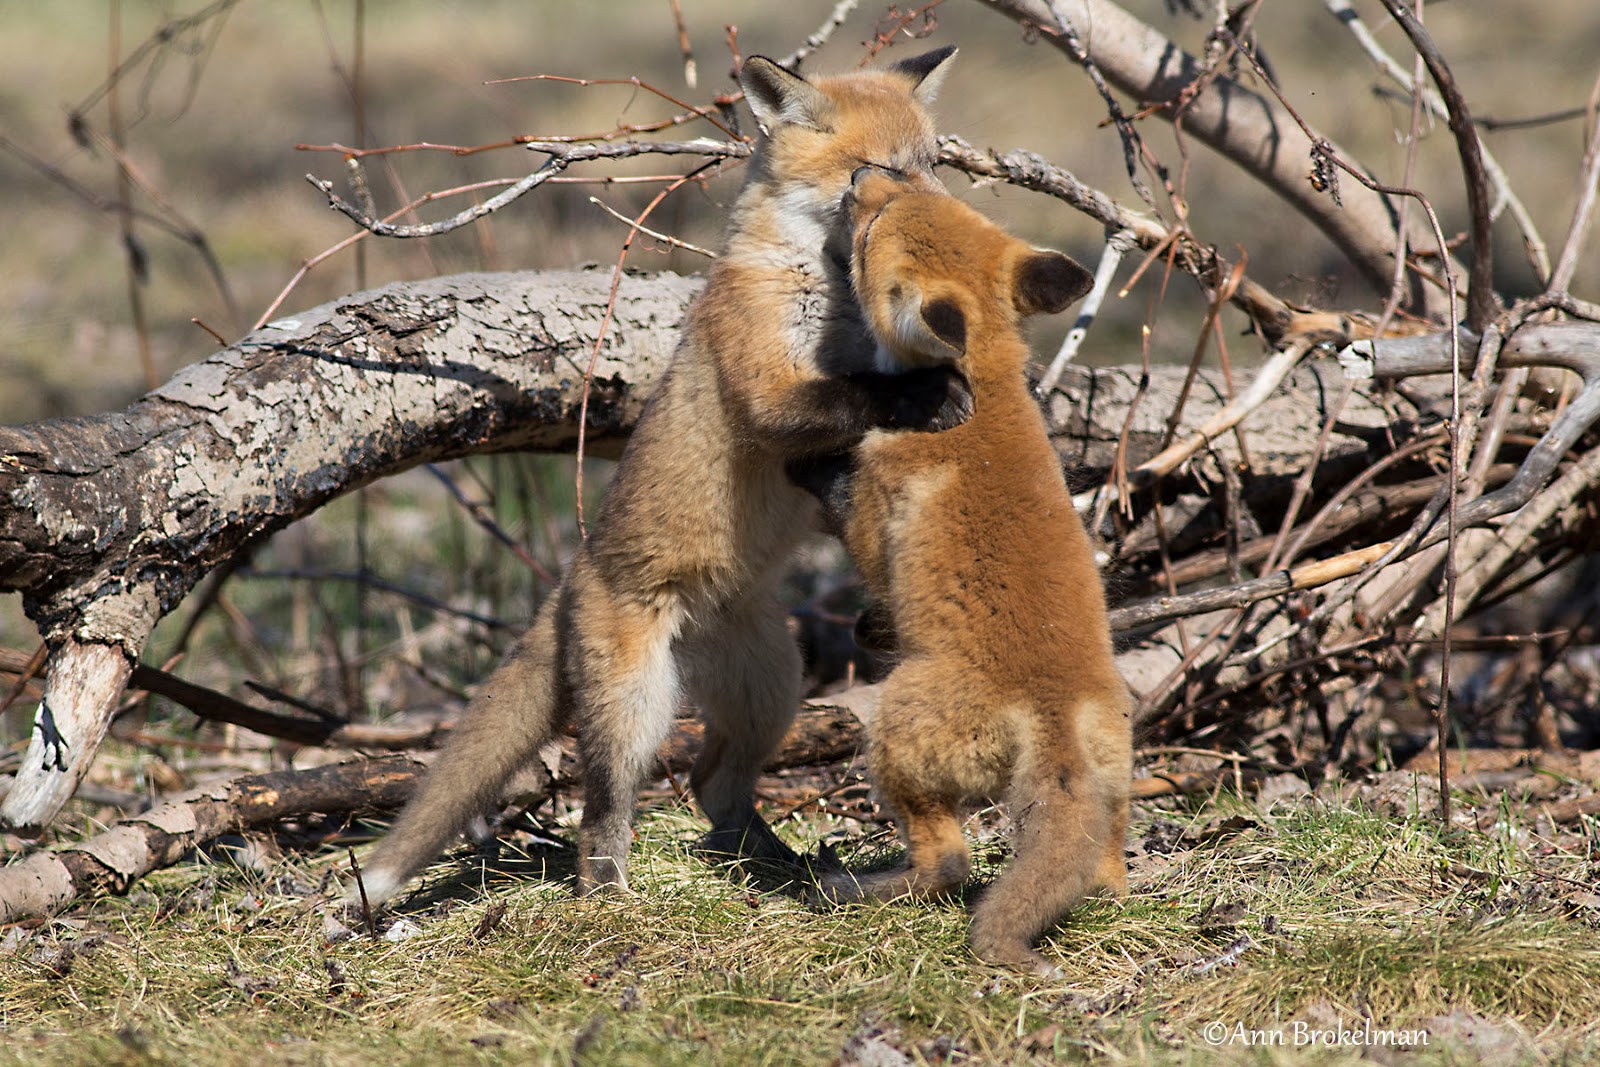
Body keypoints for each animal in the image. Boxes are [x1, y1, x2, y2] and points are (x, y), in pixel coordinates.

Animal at [350, 48, 973, 907]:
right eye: (878, 170)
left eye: (932, 163)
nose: (946, 222)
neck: (831, 296)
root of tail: (575, 571)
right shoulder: (770, 390)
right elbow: (855, 395)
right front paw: (934, 393)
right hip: (637, 711)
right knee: (602, 810)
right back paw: (609, 896)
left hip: (770, 689)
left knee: (715, 783)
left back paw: (776, 862)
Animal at [789, 168, 1133, 975]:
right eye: (912, 186)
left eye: (873, 225)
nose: (864, 175)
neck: (991, 389)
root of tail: (1053, 711)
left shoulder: (873, 514)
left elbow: (851, 525)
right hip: (1116, 780)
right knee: (1104, 867)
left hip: (894, 739)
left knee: (948, 863)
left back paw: (862, 890)